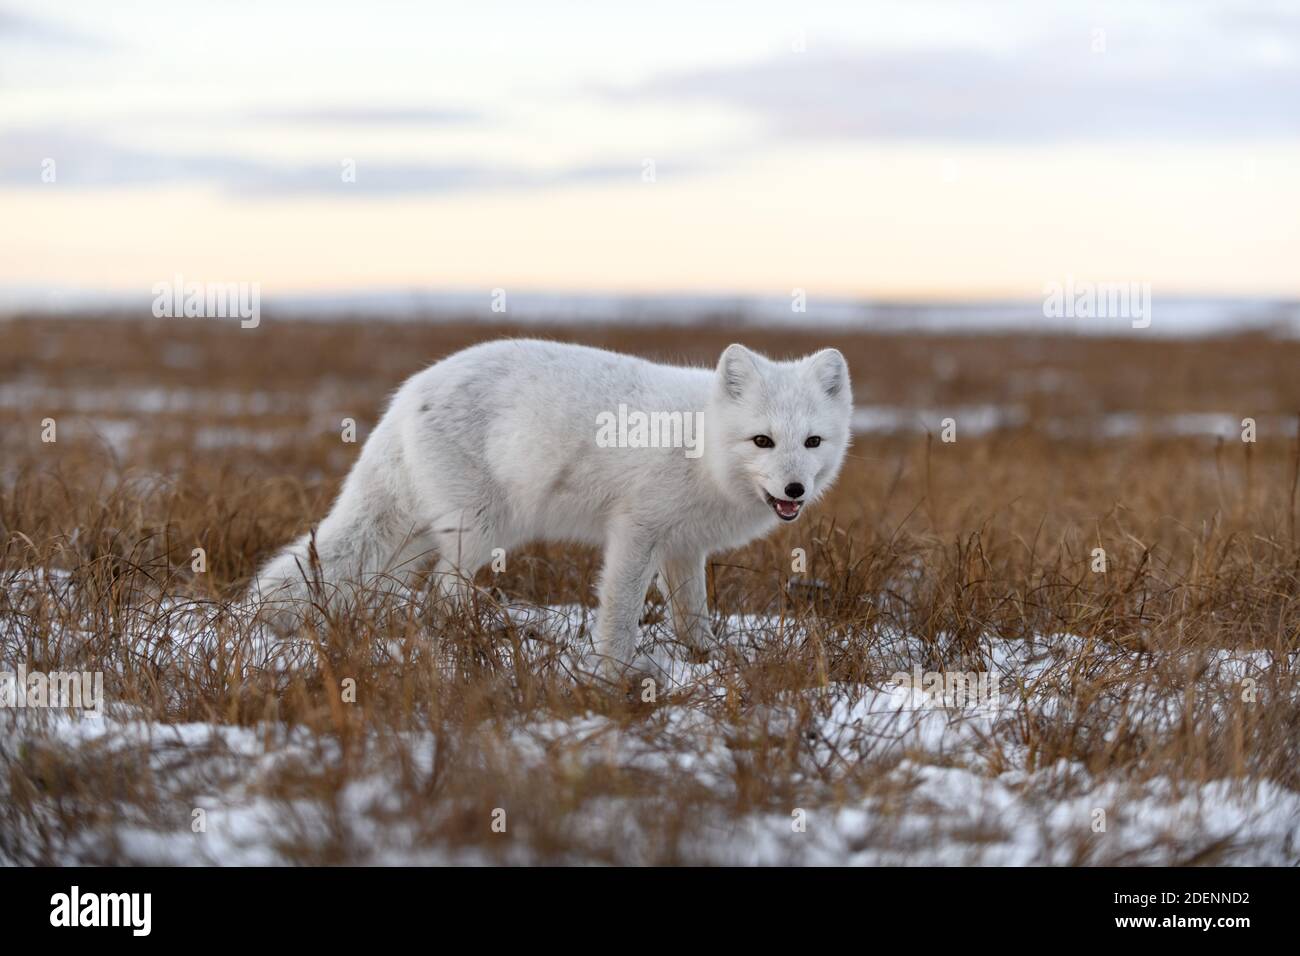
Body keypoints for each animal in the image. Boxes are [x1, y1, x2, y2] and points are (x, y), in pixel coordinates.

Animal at [249, 339, 853, 680]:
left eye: (813, 442)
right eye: (762, 441)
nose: (795, 489)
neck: (700, 448)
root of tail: (408, 391)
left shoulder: (684, 547)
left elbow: (693, 615)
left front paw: (708, 661)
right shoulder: (636, 530)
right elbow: (620, 611)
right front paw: (617, 672)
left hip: (421, 535)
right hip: (482, 528)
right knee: (441, 594)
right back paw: (467, 644)